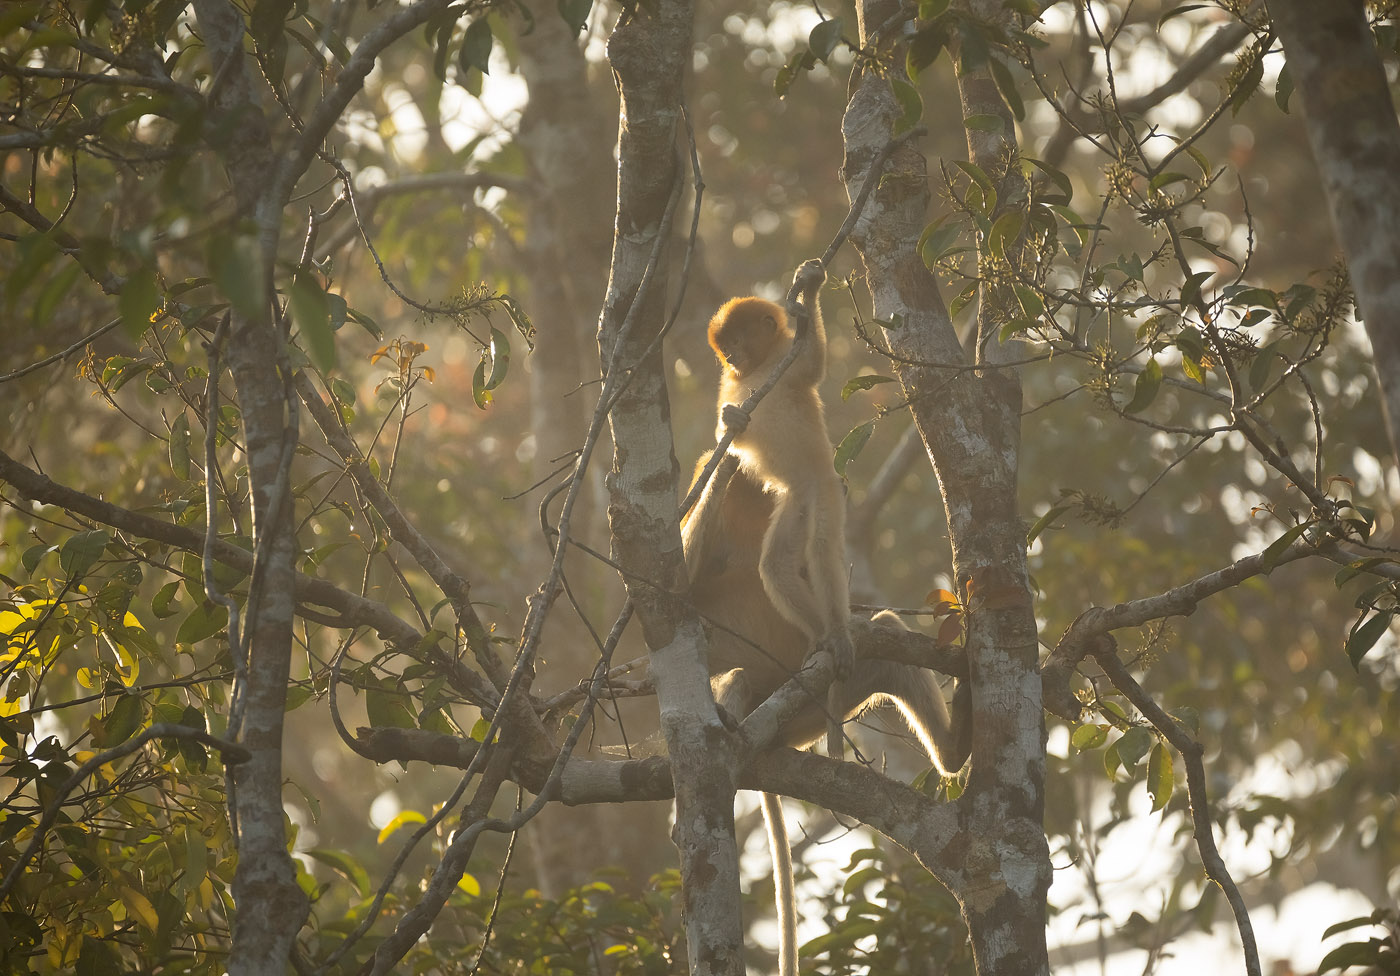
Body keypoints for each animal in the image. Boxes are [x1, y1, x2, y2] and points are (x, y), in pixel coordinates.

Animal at [681, 447, 970, 976]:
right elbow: (675, 591)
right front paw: (728, 459)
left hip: (806, 717)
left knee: (880, 636)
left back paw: (952, 749)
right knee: (739, 672)